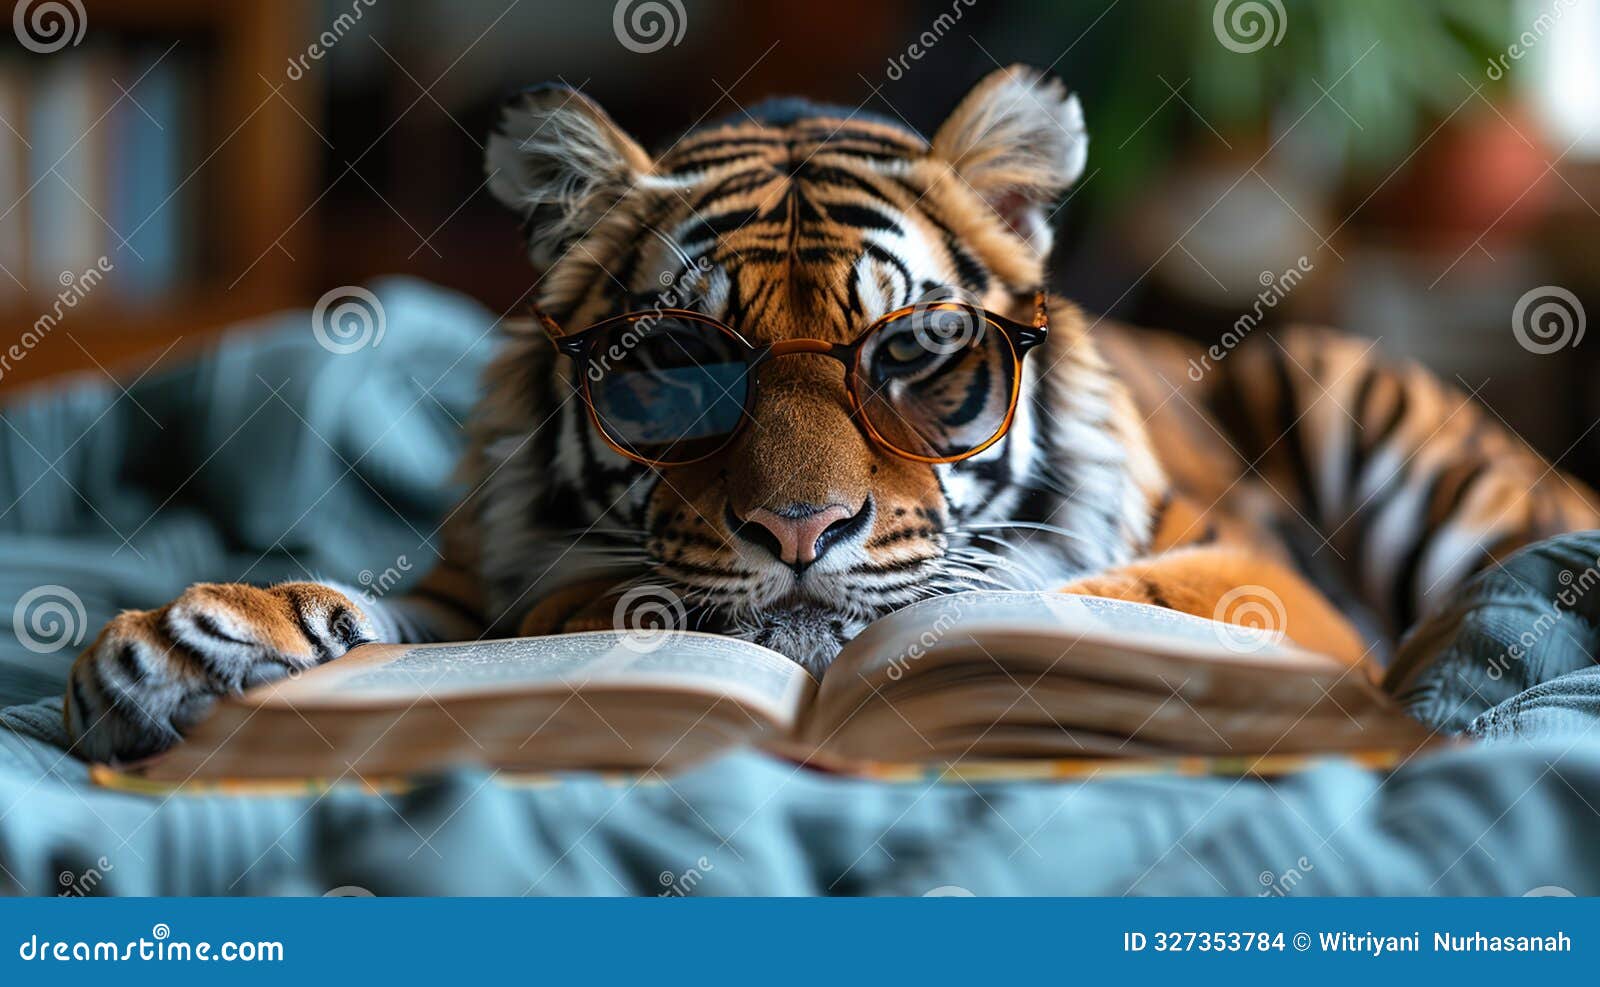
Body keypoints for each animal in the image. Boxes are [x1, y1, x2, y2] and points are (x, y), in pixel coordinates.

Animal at [63, 65, 1600, 764]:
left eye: (913, 350)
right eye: (683, 359)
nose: (801, 531)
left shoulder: (1265, 572)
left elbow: (1121, 591)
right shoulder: (467, 578)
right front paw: (191, 646)